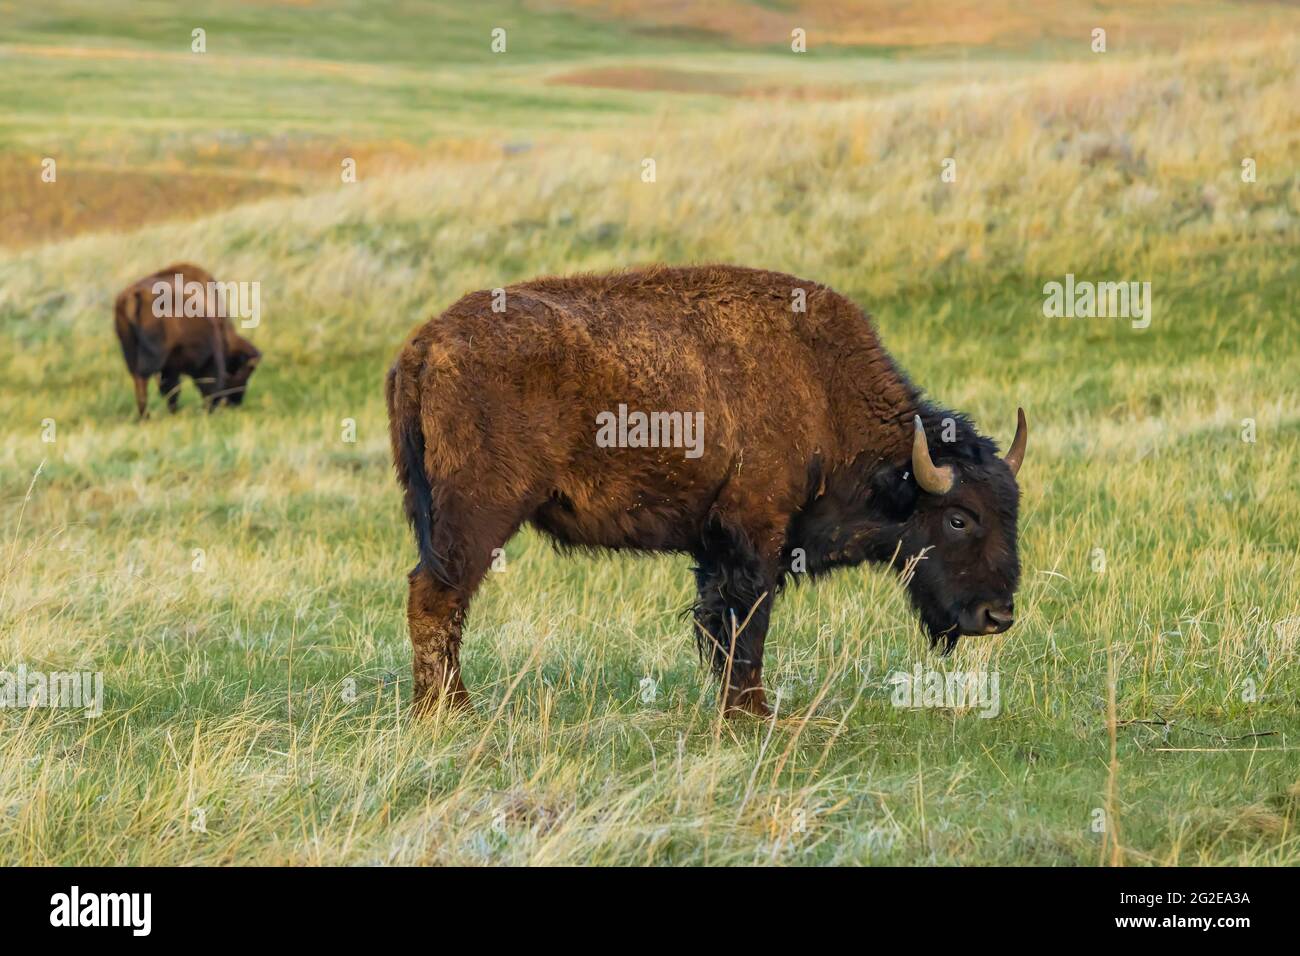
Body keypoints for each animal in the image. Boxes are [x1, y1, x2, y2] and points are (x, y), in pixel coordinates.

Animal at [113, 262, 261, 417]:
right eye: (244, 372)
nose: (236, 402)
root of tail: (135, 296)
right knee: (146, 379)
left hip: (132, 353)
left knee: (141, 380)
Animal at [386, 265, 1027, 717]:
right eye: (959, 518)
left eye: (1011, 514)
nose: (997, 615)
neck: (822, 389)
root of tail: (424, 346)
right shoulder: (755, 536)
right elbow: (747, 625)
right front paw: (752, 715)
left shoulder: (717, 548)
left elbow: (721, 625)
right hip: (479, 514)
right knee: (437, 597)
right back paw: (451, 714)